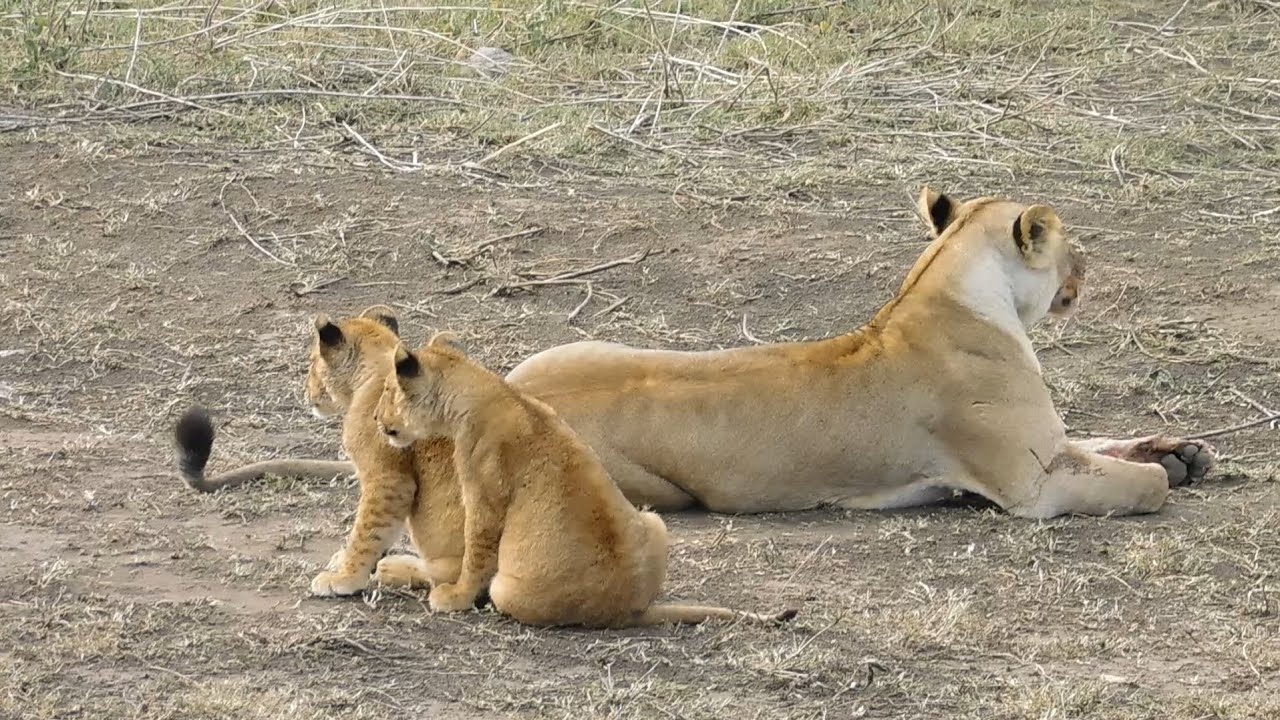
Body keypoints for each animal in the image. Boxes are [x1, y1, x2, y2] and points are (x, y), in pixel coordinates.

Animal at [175, 186, 1215, 520]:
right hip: (648, 489)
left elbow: (1109, 440)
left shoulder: (1051, 447)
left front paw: (1185, 449)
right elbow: (1126, 485)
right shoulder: (1027, 489)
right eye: (1071, 246)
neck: (950, 284)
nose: (1089, 272)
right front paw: (1167, 476)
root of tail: (497, 392)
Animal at [374, 332, 798, 628]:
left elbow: (475, 554)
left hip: (506, 588)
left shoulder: (484, 499)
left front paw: (454, 597)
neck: (492, 391)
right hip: (653, 519)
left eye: (388, 392)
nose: (378, 420)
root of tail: (626, 610)